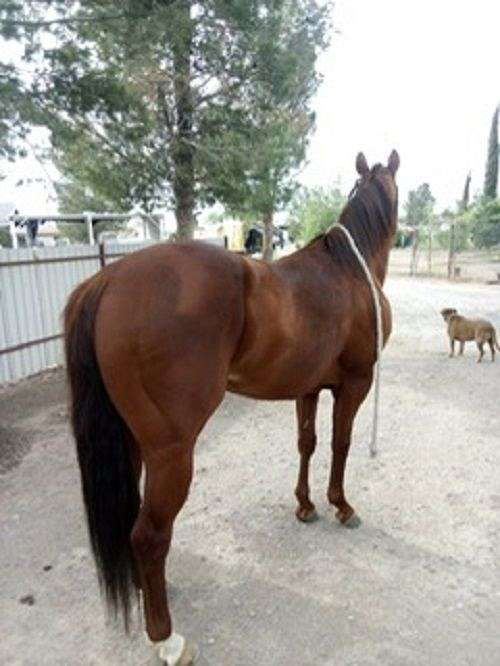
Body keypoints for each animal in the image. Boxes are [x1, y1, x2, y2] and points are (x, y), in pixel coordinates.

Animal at [64, 150, 400, 663]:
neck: (347, 270)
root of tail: (108, 279)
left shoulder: (309, 388)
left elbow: (308, 443)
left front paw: (305, 506)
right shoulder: (355, 385)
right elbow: (340, 444)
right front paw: (341, 506)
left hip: (133, 441)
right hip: (172, 452)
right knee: (149, 534)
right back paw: (166, 637)